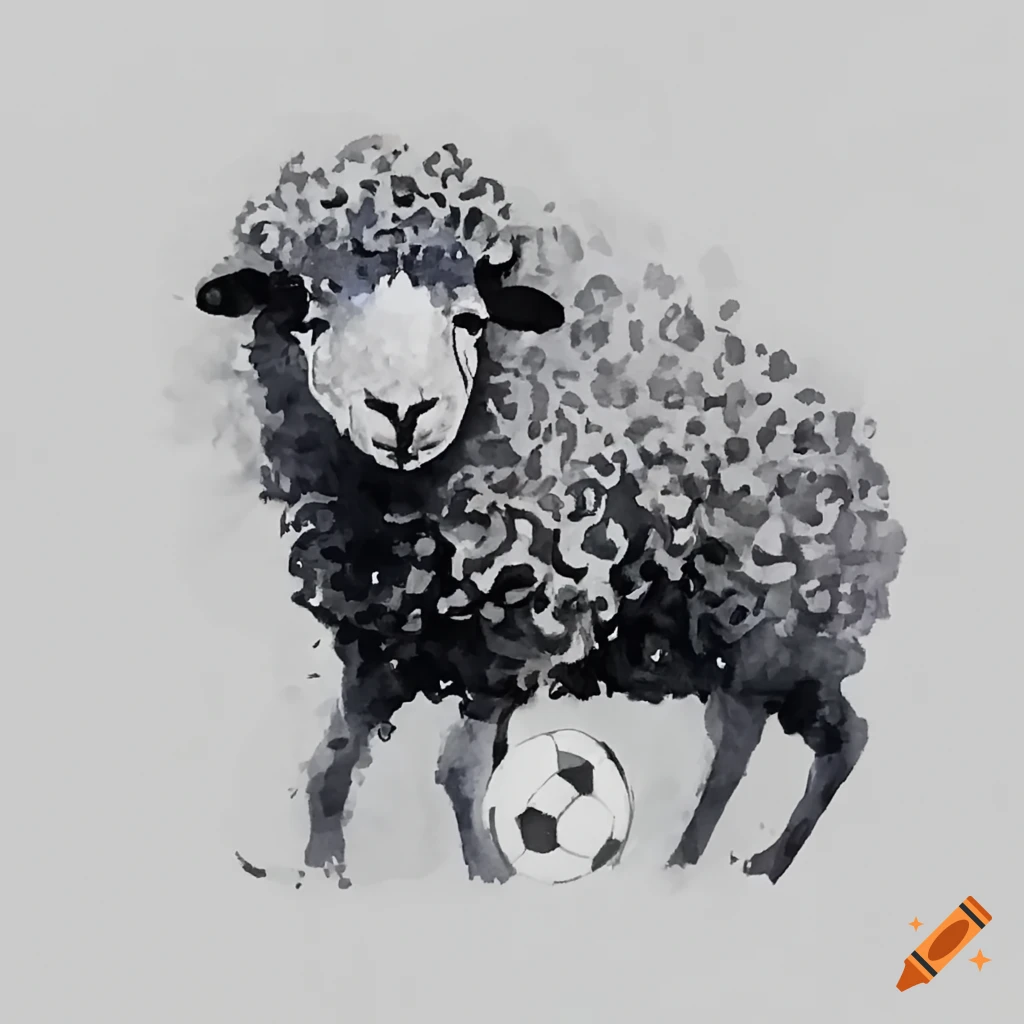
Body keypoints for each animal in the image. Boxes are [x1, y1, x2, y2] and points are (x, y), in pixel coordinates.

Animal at [194, 133, 905, 888]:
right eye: (308, 319)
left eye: (471, 320)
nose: (404, 415)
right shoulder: (378, 639)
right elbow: (334, 765)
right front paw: (322, 874)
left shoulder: (516, 624)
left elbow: (461, 770)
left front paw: (491, 880)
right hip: (743, 645)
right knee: (809, 736)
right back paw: (739, 864)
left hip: (770, 628)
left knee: (767, 743)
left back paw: (698, 867)